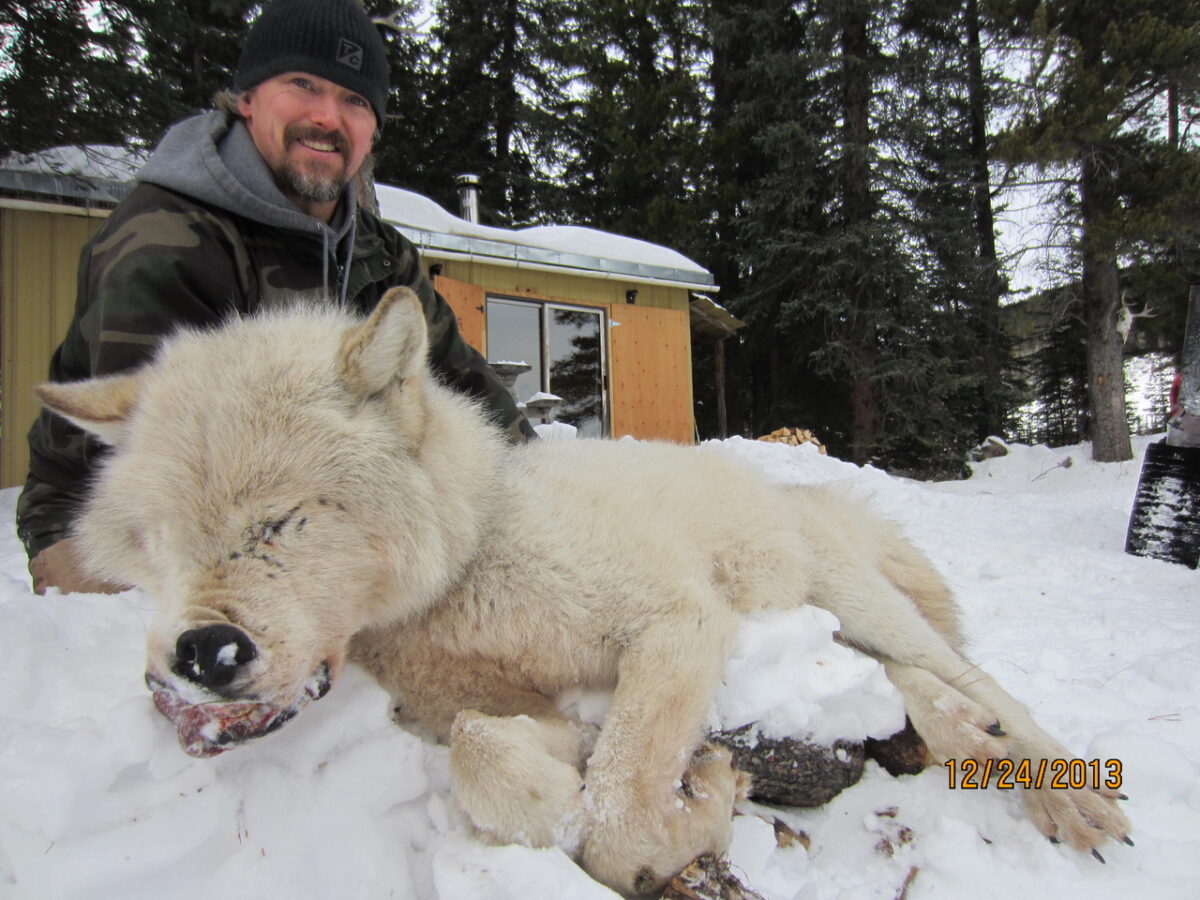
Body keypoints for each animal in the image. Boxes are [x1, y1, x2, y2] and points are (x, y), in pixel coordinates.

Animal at [37, 287, 1130, 895]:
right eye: (157, 546)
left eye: (279, 522)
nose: (201, 656)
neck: (474, 560)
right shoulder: (499, 709)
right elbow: (491, 755)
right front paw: (583, 797)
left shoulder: (677, 624)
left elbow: (617, 815)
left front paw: (692, 812)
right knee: (915, 686)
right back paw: (964, 736)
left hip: (850, 594)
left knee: (982, 682)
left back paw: (1063, 791)